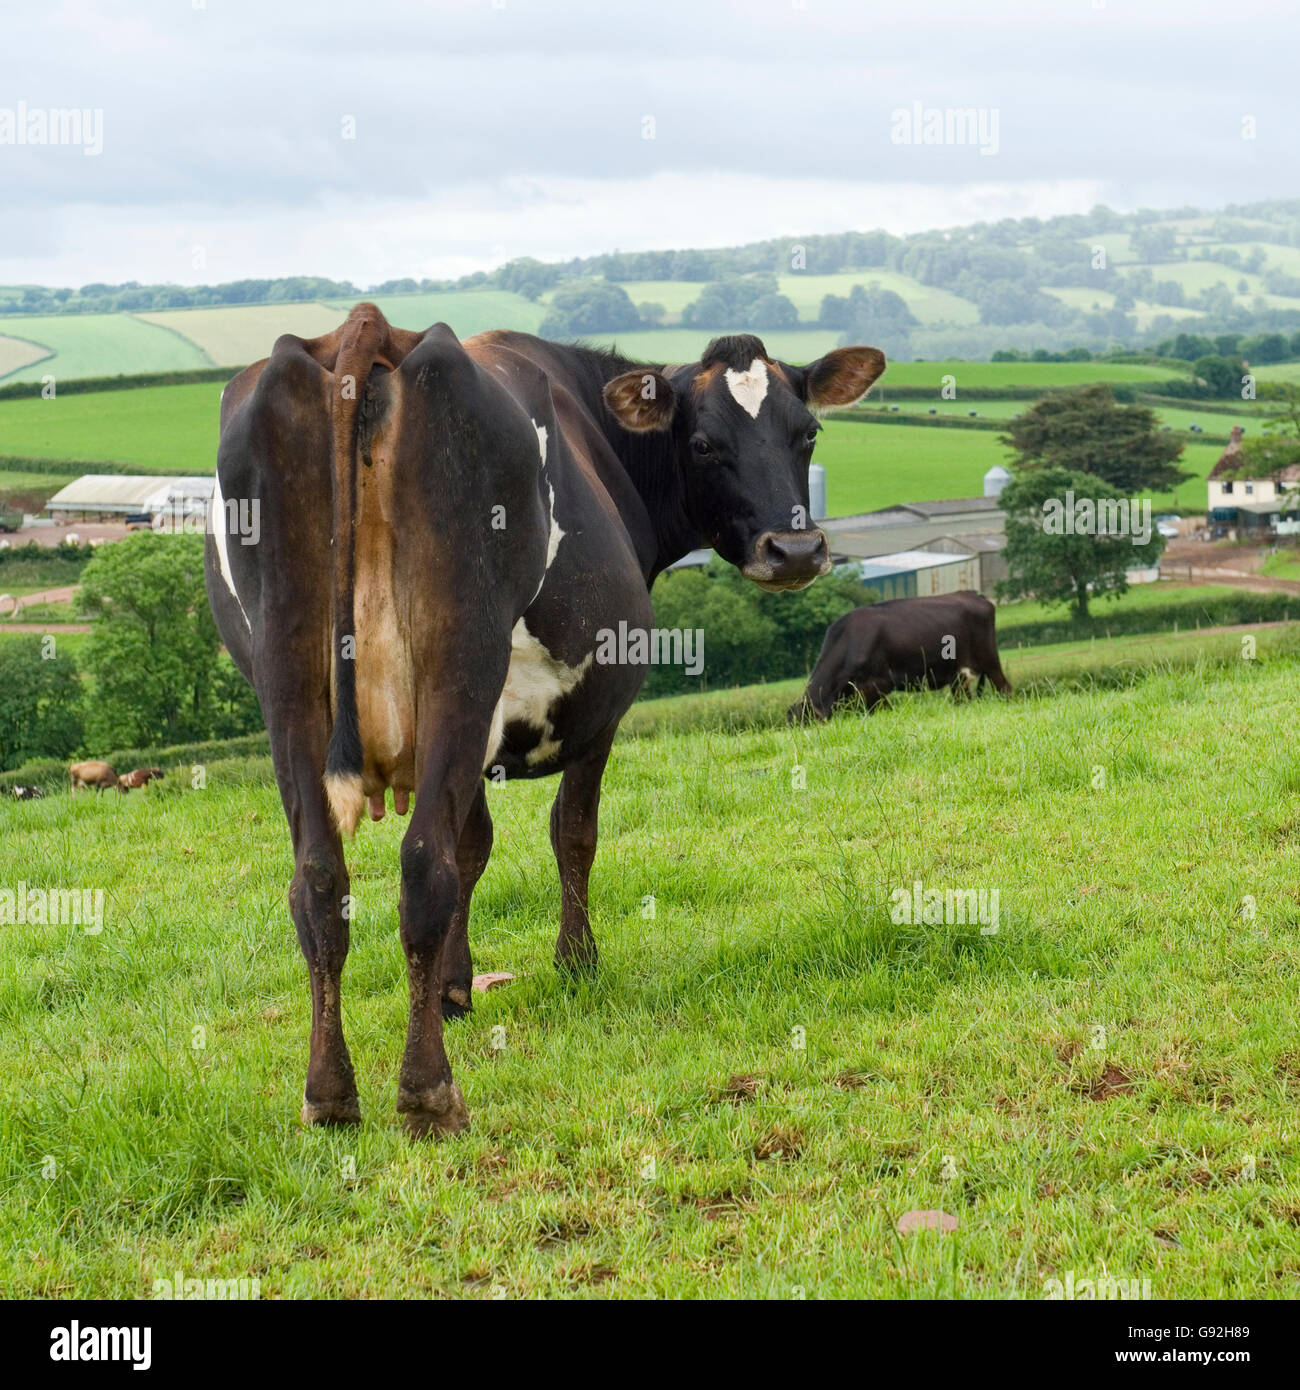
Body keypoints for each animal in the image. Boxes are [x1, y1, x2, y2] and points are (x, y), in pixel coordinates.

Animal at [206, 303, 885, 1138]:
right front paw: (576, 963)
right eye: (703, 443)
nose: (795, 549)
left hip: (287, 692)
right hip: (458, 670)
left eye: (807, 433)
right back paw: (428, 1091)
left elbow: (475, 845)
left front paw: (455, 986)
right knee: (421, 869)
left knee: (319, 882)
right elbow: (571, 832)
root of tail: (373, 329)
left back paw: (330, 1093)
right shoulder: (597, 707)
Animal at [788, 591, 1011, 722]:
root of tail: (974, 594)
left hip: (989, 661)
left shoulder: (877, 685)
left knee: (1005, 688)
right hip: (958, 675)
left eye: (807, 723)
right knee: (963, 699)